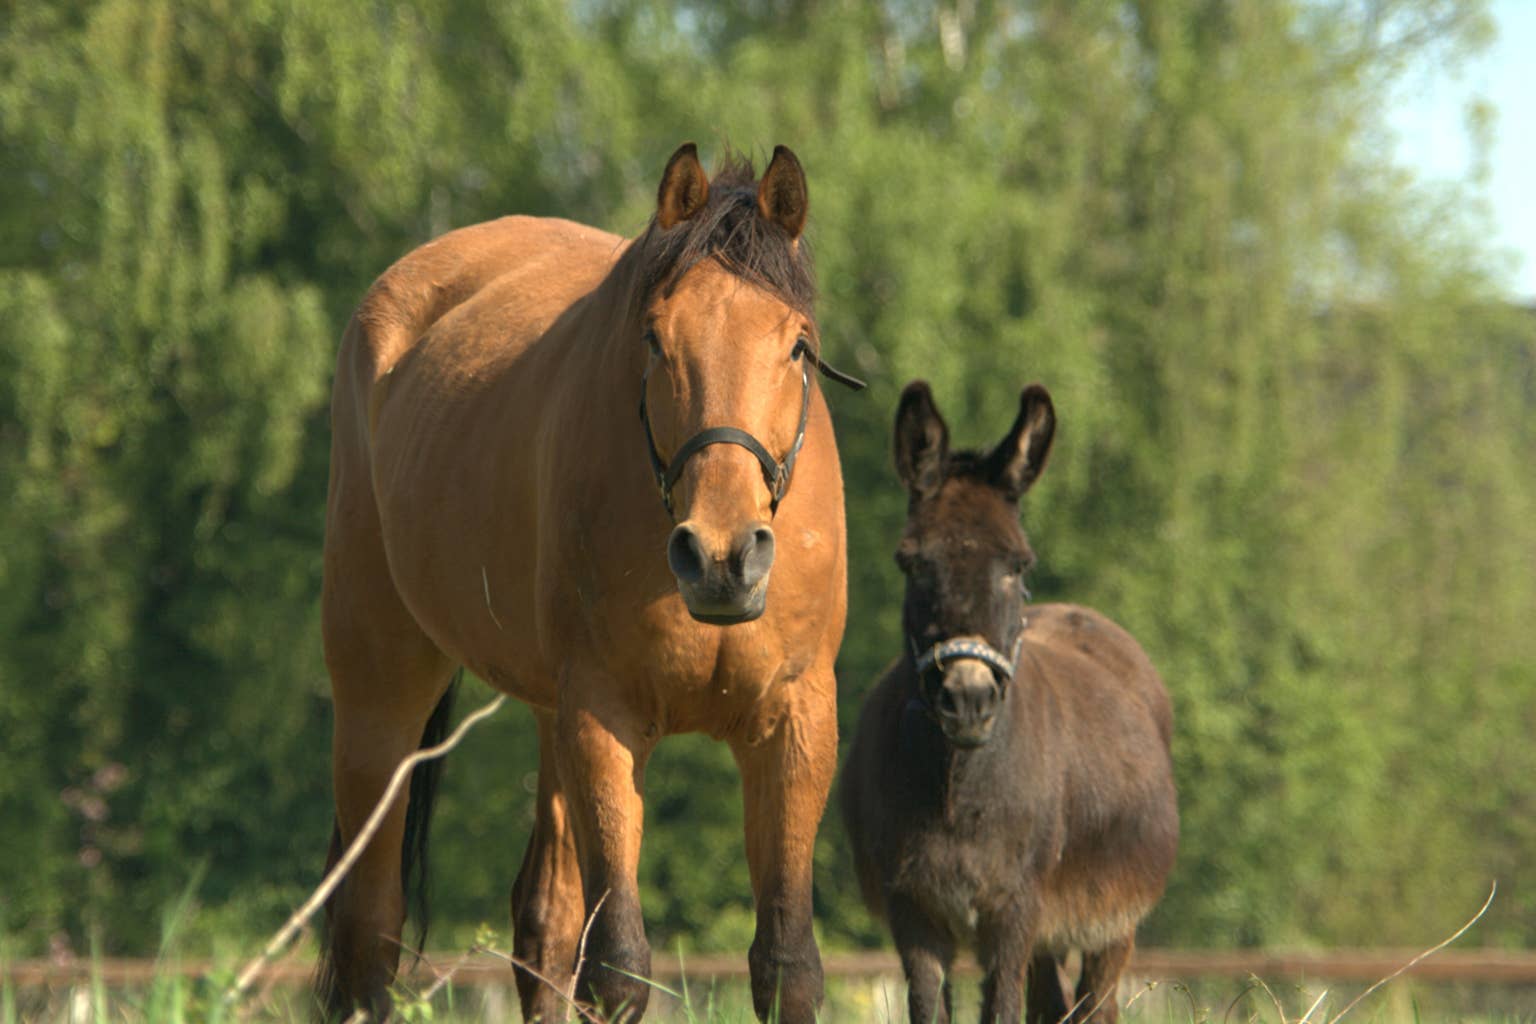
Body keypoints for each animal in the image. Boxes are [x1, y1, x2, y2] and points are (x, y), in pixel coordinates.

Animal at [317, 143, 862, 1022]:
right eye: (656, 339)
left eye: (797, 346)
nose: (722, 556)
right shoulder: (604, 720)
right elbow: (620, 966)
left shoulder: (795, 724)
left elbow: (787, 964)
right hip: (381, 689)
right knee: (368, 930)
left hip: (549, 712)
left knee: (542, 920)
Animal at [839, 381, 1178, 1024]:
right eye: (912, 562)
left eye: (1018, 565)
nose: (967, 699)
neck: (959, 785)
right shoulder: (913, 907)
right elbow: (931, 1008)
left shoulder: (1016, 908)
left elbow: (1003, 1007)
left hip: (1109, 921)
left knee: (1095, 1004)